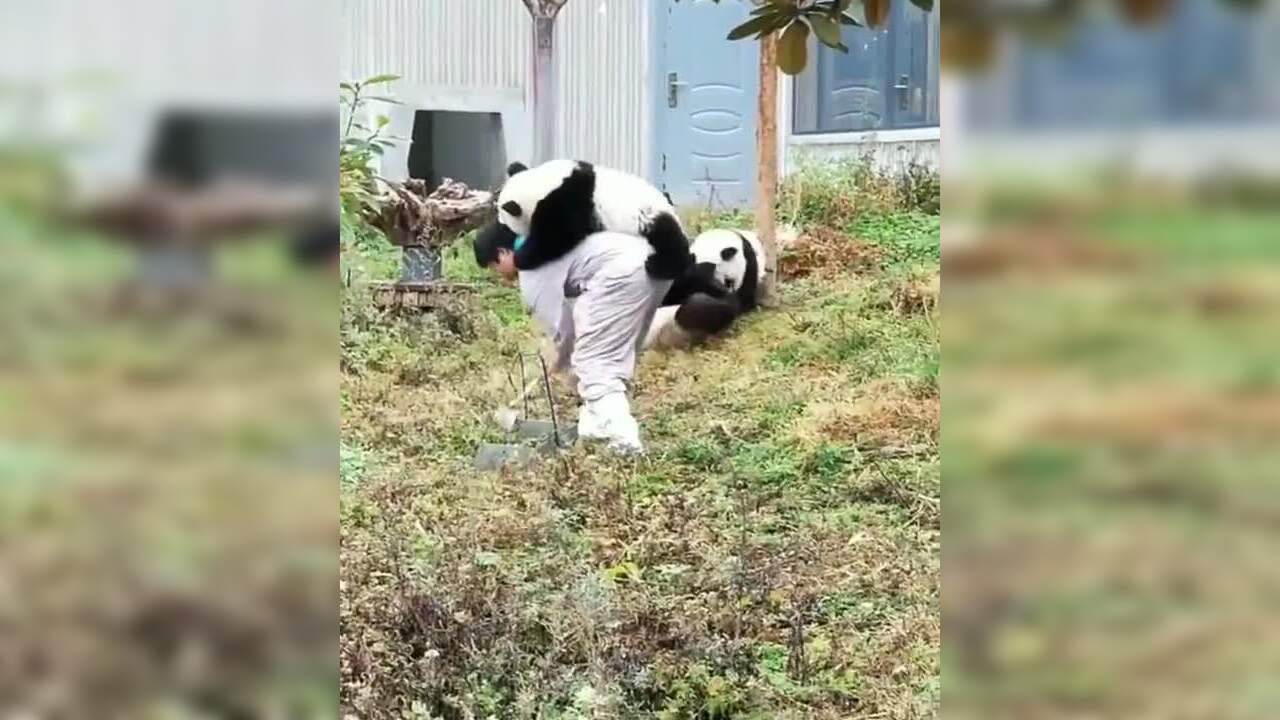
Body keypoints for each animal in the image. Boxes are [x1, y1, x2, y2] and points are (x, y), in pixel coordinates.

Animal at [497, 159, 697, 282]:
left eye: (506, 223)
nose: (509, 232)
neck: (540, 184)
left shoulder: (566, 202)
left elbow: (555, 237)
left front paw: (519, 258)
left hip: (648, 217)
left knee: (669, 241)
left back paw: (658, 265)